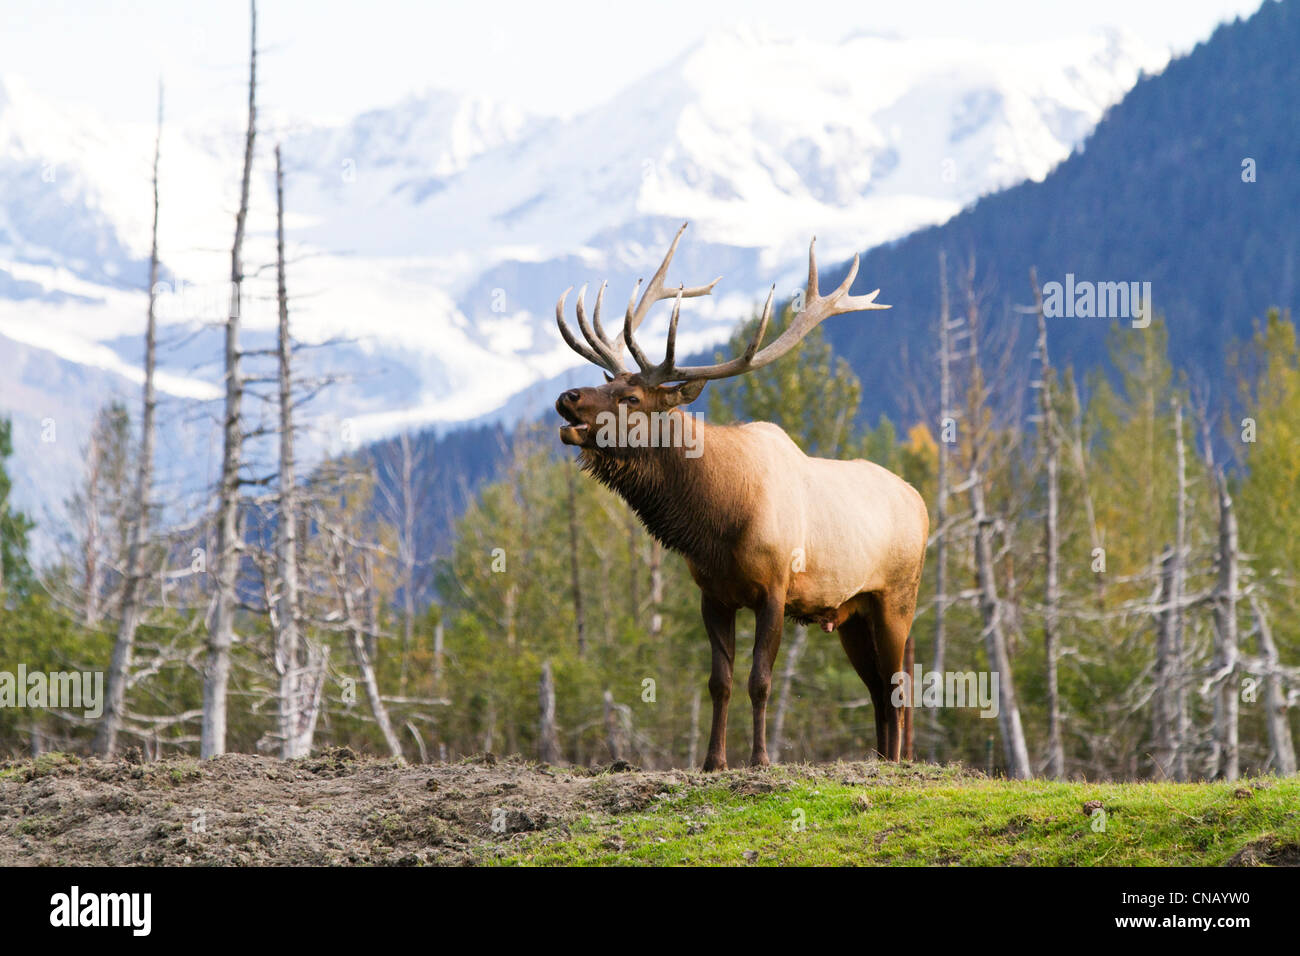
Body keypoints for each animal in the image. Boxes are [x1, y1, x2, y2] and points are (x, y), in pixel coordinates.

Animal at [554, 223, 928, 770]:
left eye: (631, 397)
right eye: (610, 381)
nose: (568, 397)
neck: (719, 520)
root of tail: (921, 503)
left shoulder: (775, 588)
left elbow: (760, 680)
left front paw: (760, 759)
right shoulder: (712, 593)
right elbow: (720, 681)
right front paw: (713, 760)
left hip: (897, 597)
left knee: (900, 683)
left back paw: (898, 762)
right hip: (853, 612)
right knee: (879, 688)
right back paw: (878, 759)